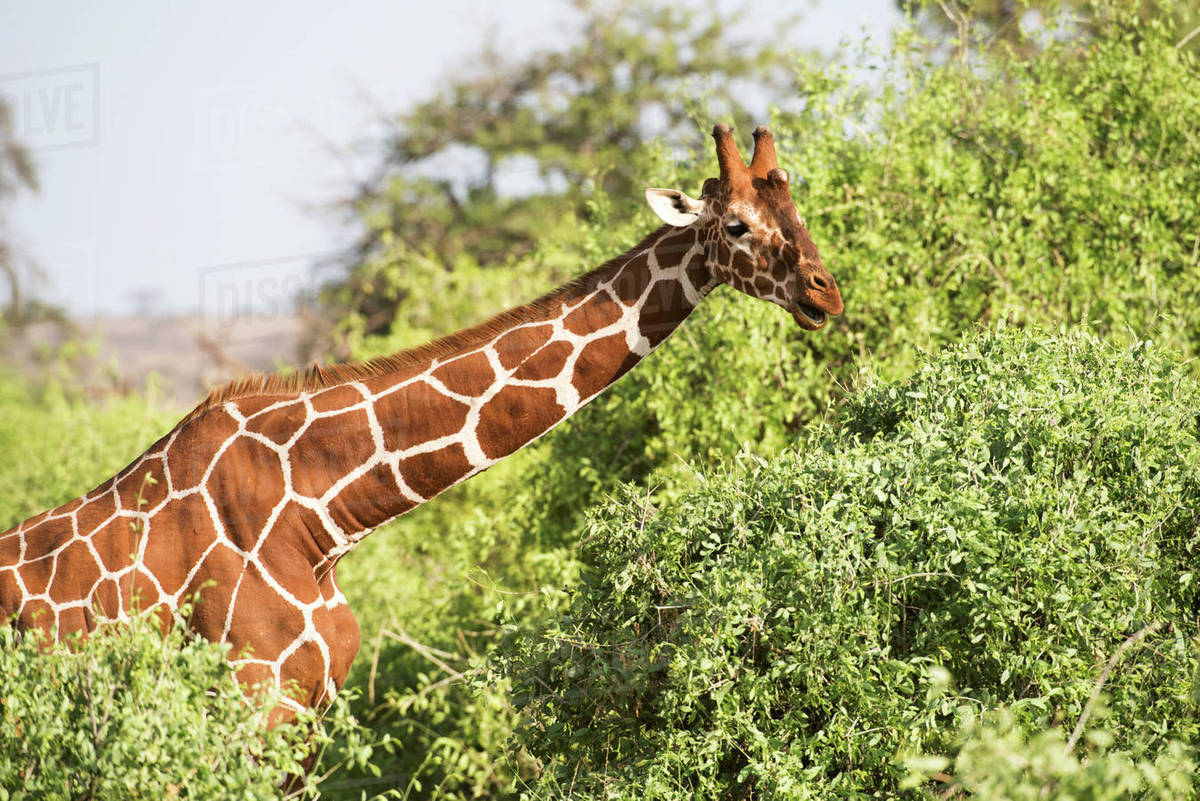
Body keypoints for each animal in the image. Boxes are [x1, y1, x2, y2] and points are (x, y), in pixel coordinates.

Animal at [0, 123, 842, 718]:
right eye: (735, 226)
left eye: (797, 211)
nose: (825, 292)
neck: (320, 517)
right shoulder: (253, 697)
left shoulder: (309, 706)